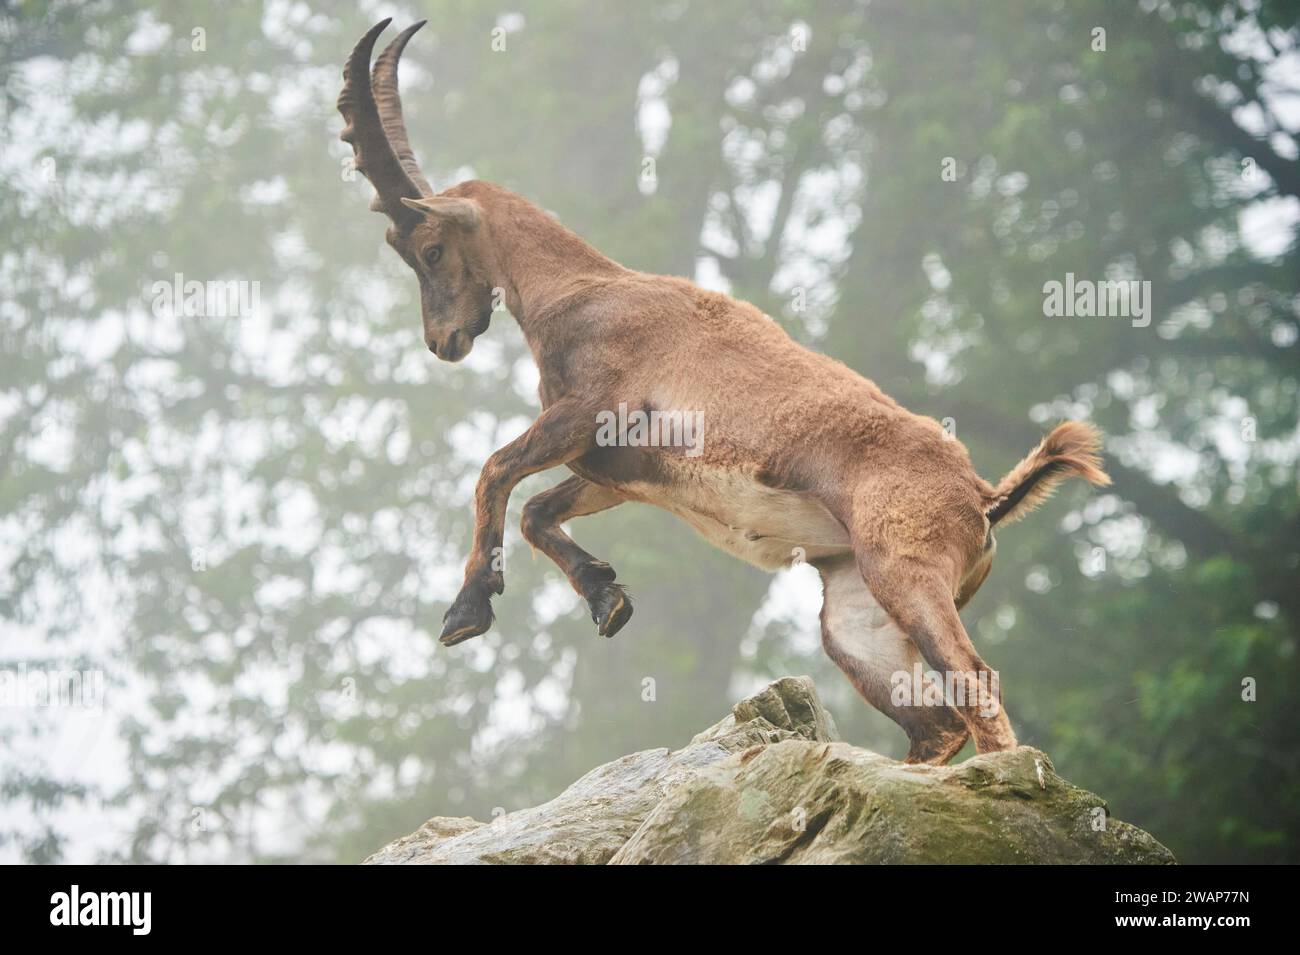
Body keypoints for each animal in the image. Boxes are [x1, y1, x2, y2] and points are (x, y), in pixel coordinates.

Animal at [337, 20, 1111, 764]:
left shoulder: (590, 412)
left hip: (907, 570)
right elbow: (536, 508)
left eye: (430, 248)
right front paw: (607, 599)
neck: (580, 292)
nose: (443, 341)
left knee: (978, 687)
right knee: (934, 722)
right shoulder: (617, 468)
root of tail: (983, 497)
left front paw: (465, 613)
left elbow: (495, 469)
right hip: (856, 613)